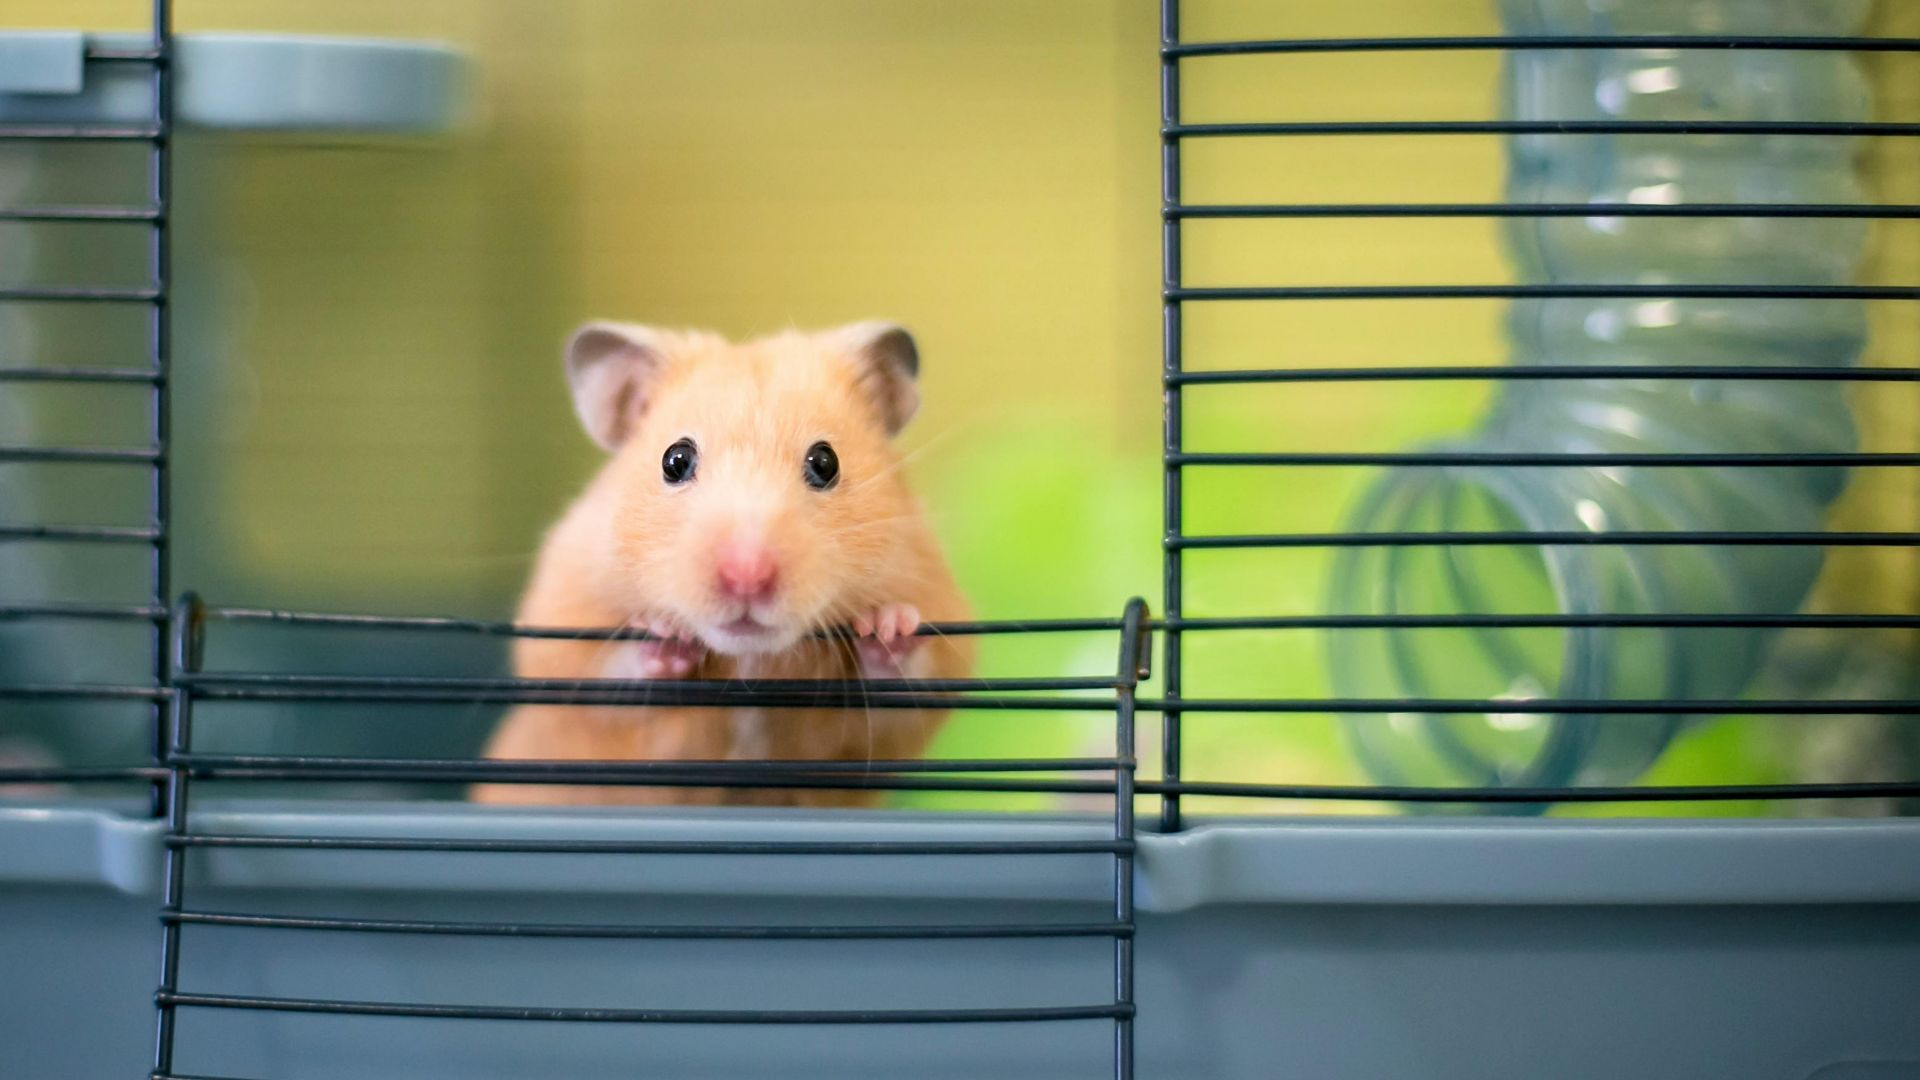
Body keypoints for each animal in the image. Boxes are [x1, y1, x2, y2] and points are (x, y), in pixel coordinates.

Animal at [472, 320, 974, 808]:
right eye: (675, 460)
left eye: (825, 462)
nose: (746, 578)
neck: (748, 658)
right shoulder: (564, 626)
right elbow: (605, 673)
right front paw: (666, 635)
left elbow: (905, 682)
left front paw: (887, 625)